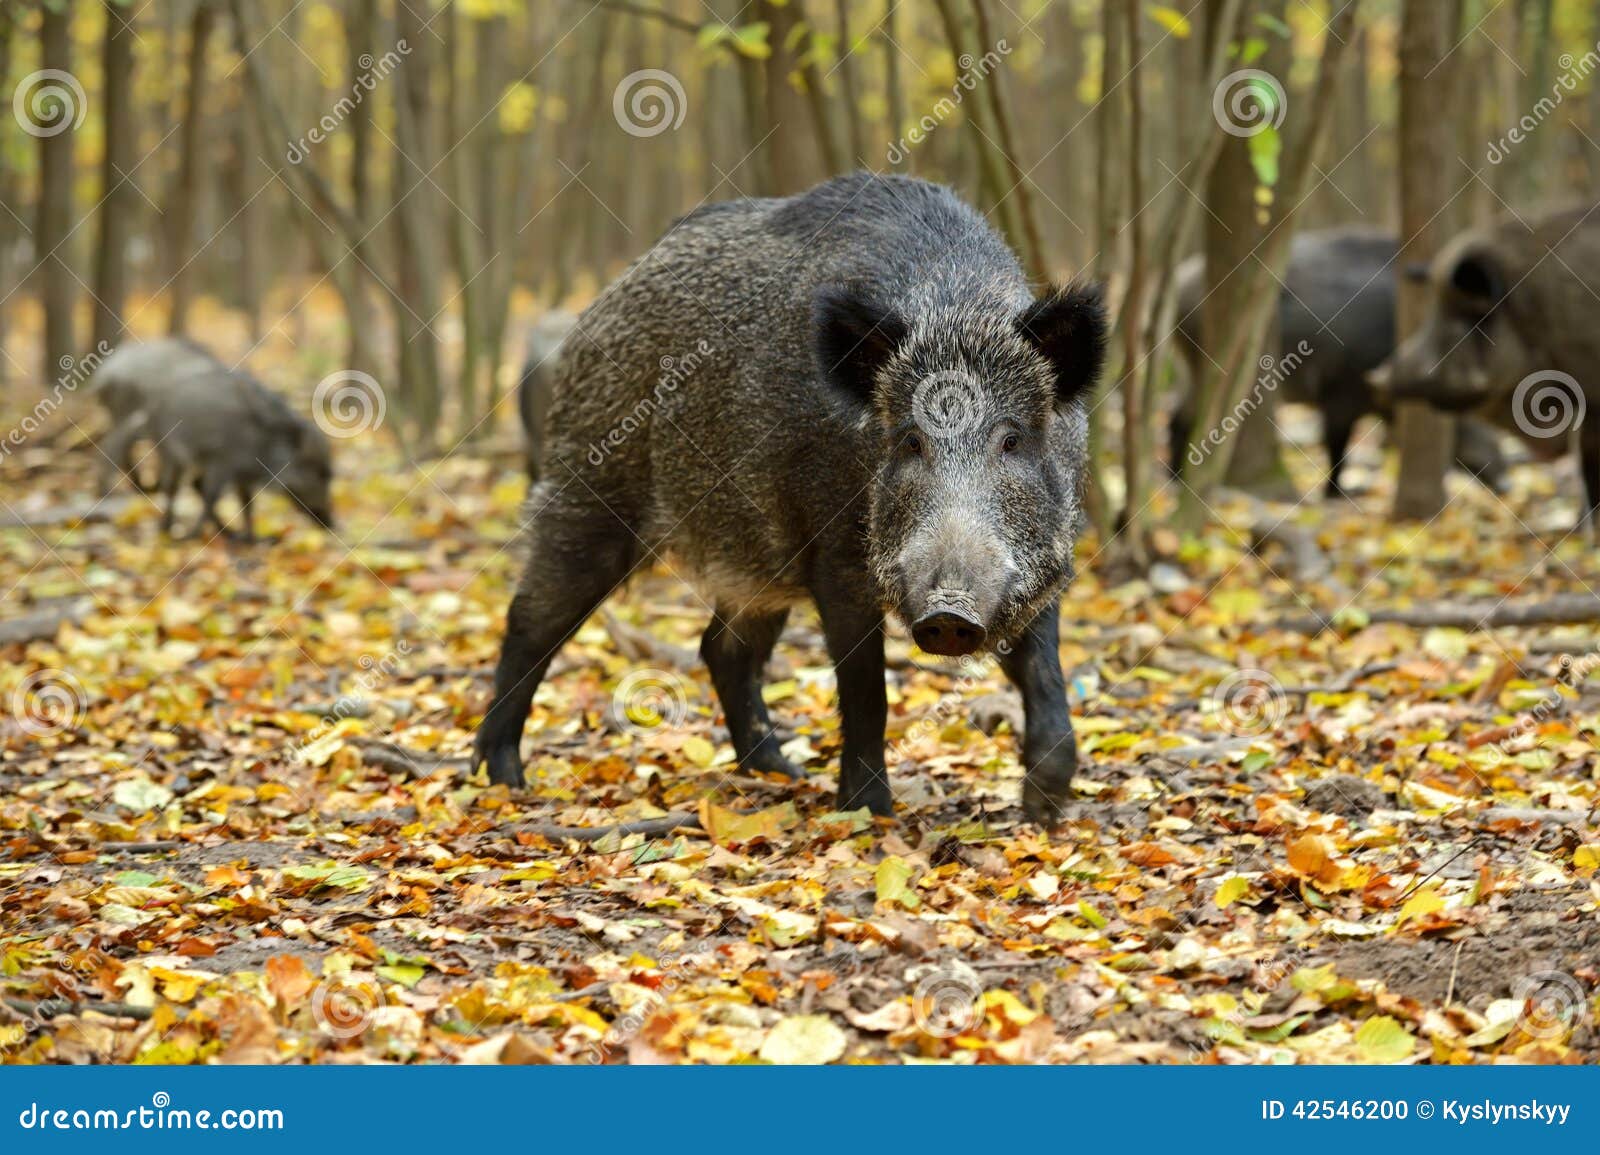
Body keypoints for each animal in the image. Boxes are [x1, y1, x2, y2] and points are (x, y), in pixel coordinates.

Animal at [92, 342, 335, 541]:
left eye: (327, 473)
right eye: (319, 472)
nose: (331, 524)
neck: (266, 440)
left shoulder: (242, 474)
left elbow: (247, 504)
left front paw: (252, 538)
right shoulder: (222, 462)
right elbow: (212, 497)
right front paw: (192, 536)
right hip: (167, 447)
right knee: (168, 484)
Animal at [1167, 228, 1507, 497]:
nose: (1506, 484)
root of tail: (1181, 282)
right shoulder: (1342, 395)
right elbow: (1335, 444)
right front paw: (1340, 493)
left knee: (1179, 416)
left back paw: (1176, 479)